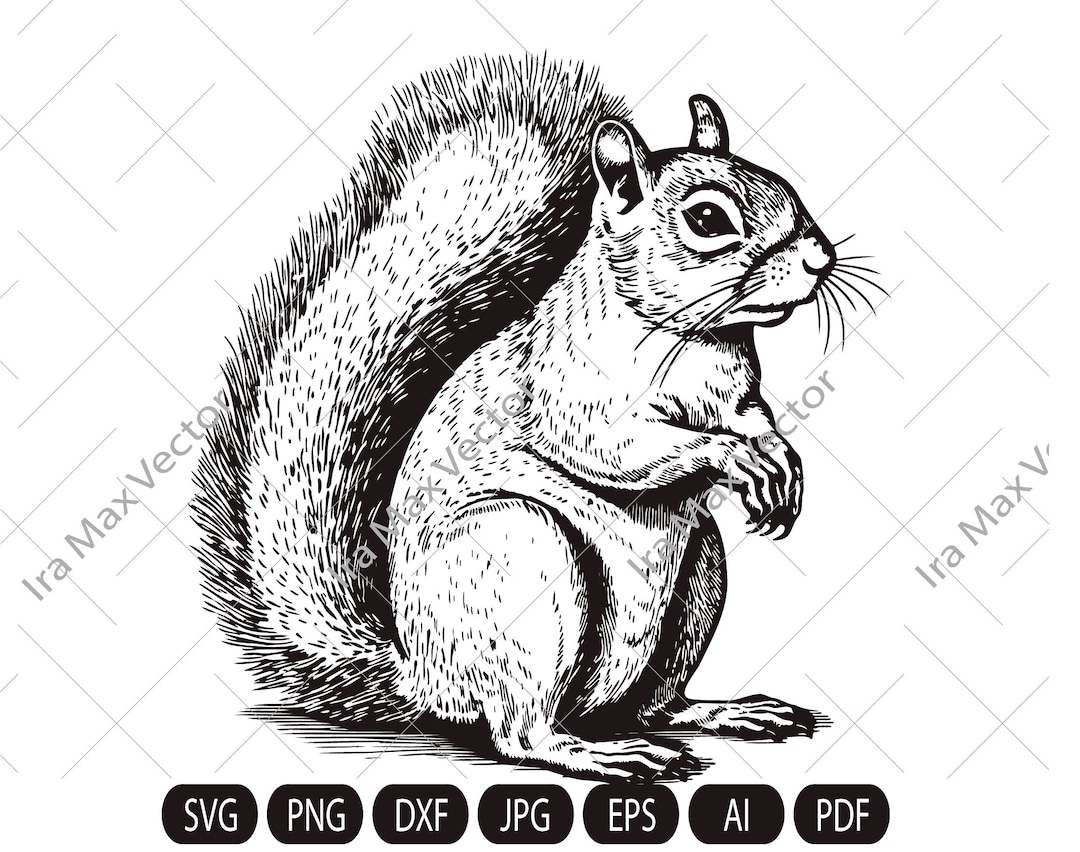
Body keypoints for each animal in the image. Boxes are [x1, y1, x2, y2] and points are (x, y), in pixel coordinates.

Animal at [194, 54, 839, 781]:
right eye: (707, 218)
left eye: (784, 185)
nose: (819, 258)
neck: (702, 340)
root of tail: (423, 677)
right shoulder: (571, 391)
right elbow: (622, 448)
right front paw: (734, 458)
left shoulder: (736, 396)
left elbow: (754, 418)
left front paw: (781, 460)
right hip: (522, 562)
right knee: (521, 732)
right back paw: (598, 753)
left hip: (698, 576)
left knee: (655, 704)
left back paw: (720, 712)